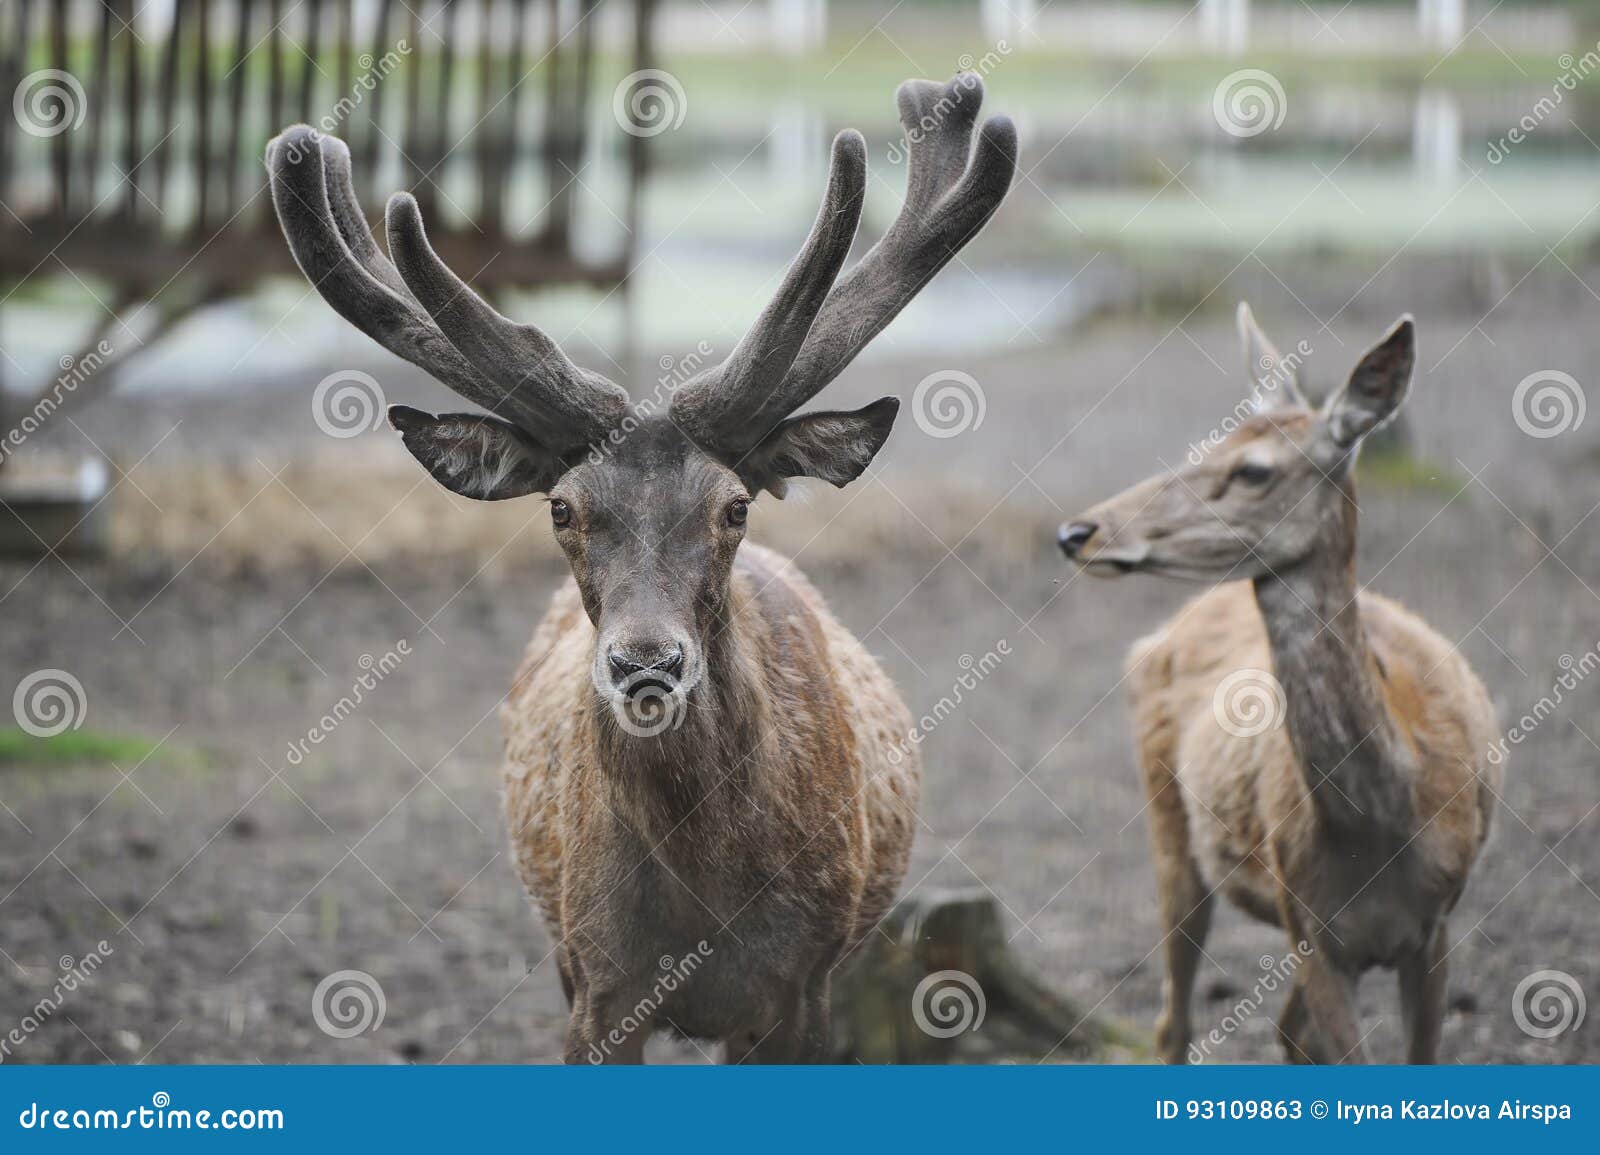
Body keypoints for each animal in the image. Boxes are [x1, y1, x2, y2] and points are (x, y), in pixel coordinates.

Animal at [266, 74, 1017, 1063]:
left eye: (734, 506)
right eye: (562, 507)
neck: (706, 905)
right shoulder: (597, 979)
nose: (645, 663)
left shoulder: (807, 985)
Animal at [1057, 306, 1499, 1064]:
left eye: (1254, 469)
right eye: (1211, 440)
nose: (1078, 530)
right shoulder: (1313, 926)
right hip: (1172, 829)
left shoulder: (1436, 925)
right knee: (1173, 1021)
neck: (1383, 829)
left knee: (1284, 1030)